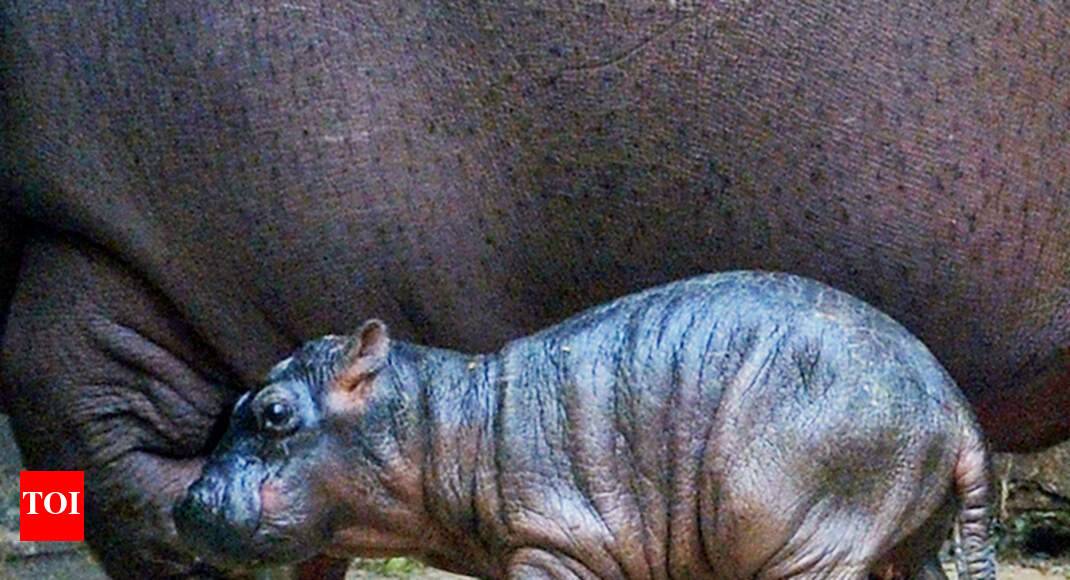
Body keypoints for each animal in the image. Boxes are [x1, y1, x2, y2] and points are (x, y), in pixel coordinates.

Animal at [175, 272, 994, 579]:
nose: (186, 502)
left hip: (807, 542)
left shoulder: (555, 546)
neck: (448, 420)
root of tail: (955, 411)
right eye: (231, 406)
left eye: (275, 413)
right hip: (904, 536)